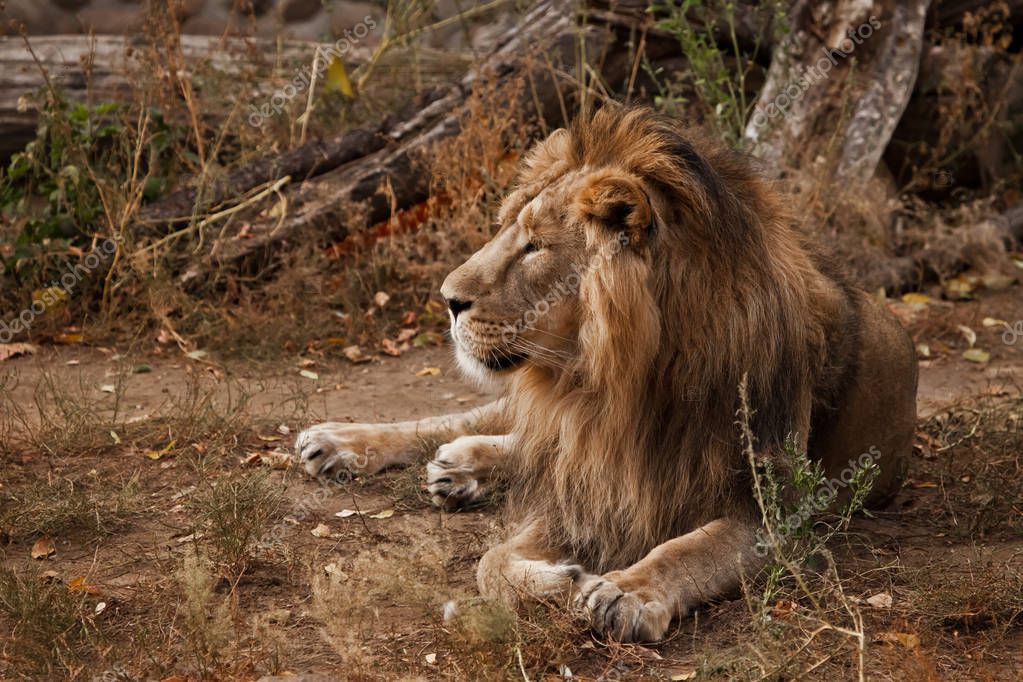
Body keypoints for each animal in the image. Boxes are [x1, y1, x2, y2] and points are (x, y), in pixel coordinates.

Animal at [294, 106, 918, 643]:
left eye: (535, 246)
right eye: (507, 233)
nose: (447, 300)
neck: (618, 386)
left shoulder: (774, 507)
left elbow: (692, 549)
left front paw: (625, 592)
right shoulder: (589, 482)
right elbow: (491, 562)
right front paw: (565, 579)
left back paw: (461, 468)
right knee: (472, 421)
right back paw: (343, 443)